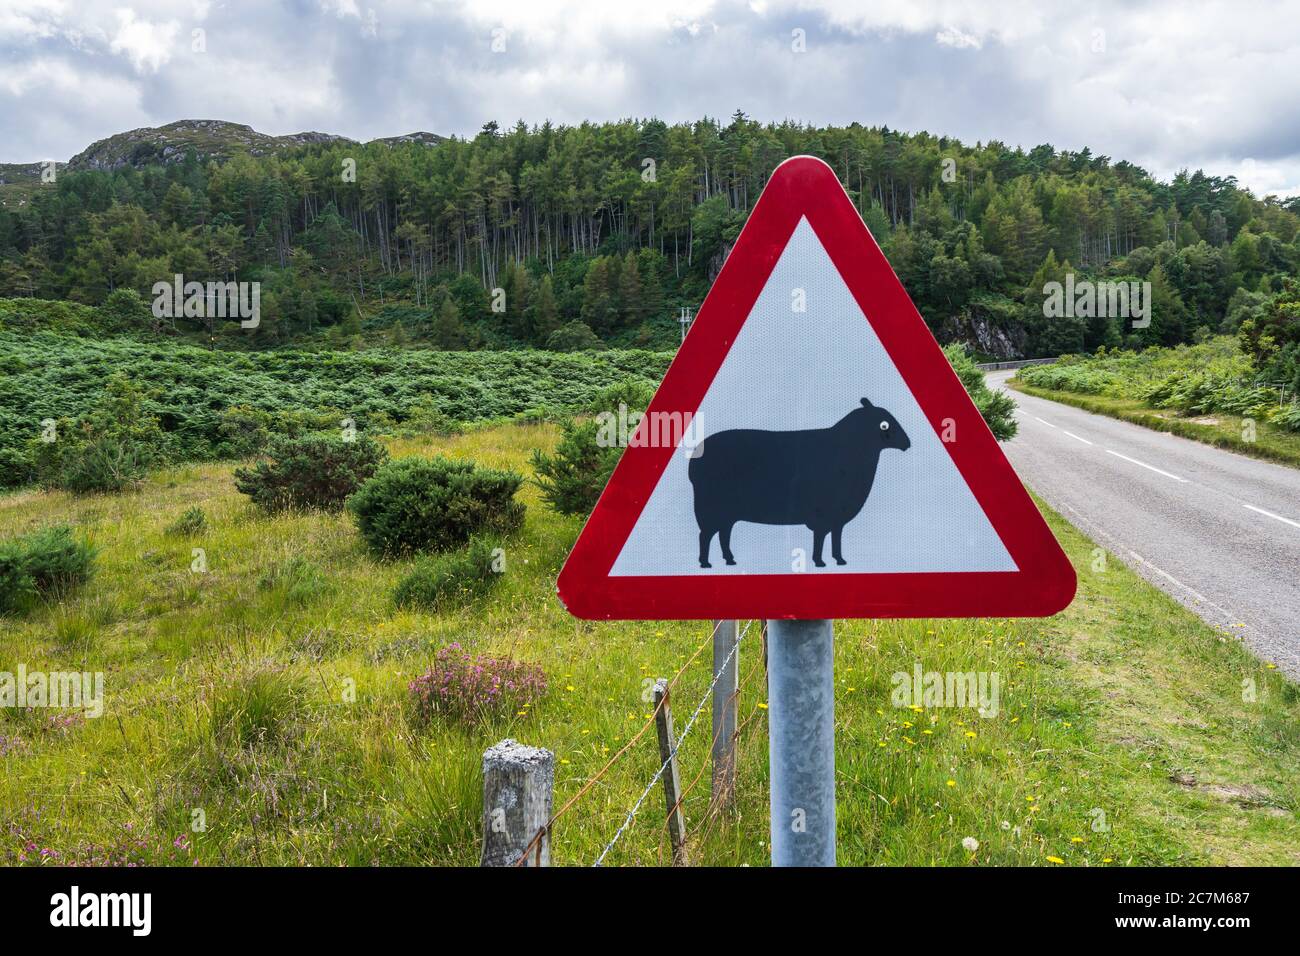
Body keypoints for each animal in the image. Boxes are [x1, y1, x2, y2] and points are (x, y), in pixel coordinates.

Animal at [687, 398, 910, 568]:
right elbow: (820, 539)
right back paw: (705, 563)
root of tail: (694, 463)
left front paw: (839, 560)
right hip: (711, 510)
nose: (908, 444)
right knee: (705, 535)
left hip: (727, 514)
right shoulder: (822, 515)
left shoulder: (837, 516)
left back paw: (730, 560)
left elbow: (836, 539)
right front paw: (819, 562)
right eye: (884, 424)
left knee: (723, 534)